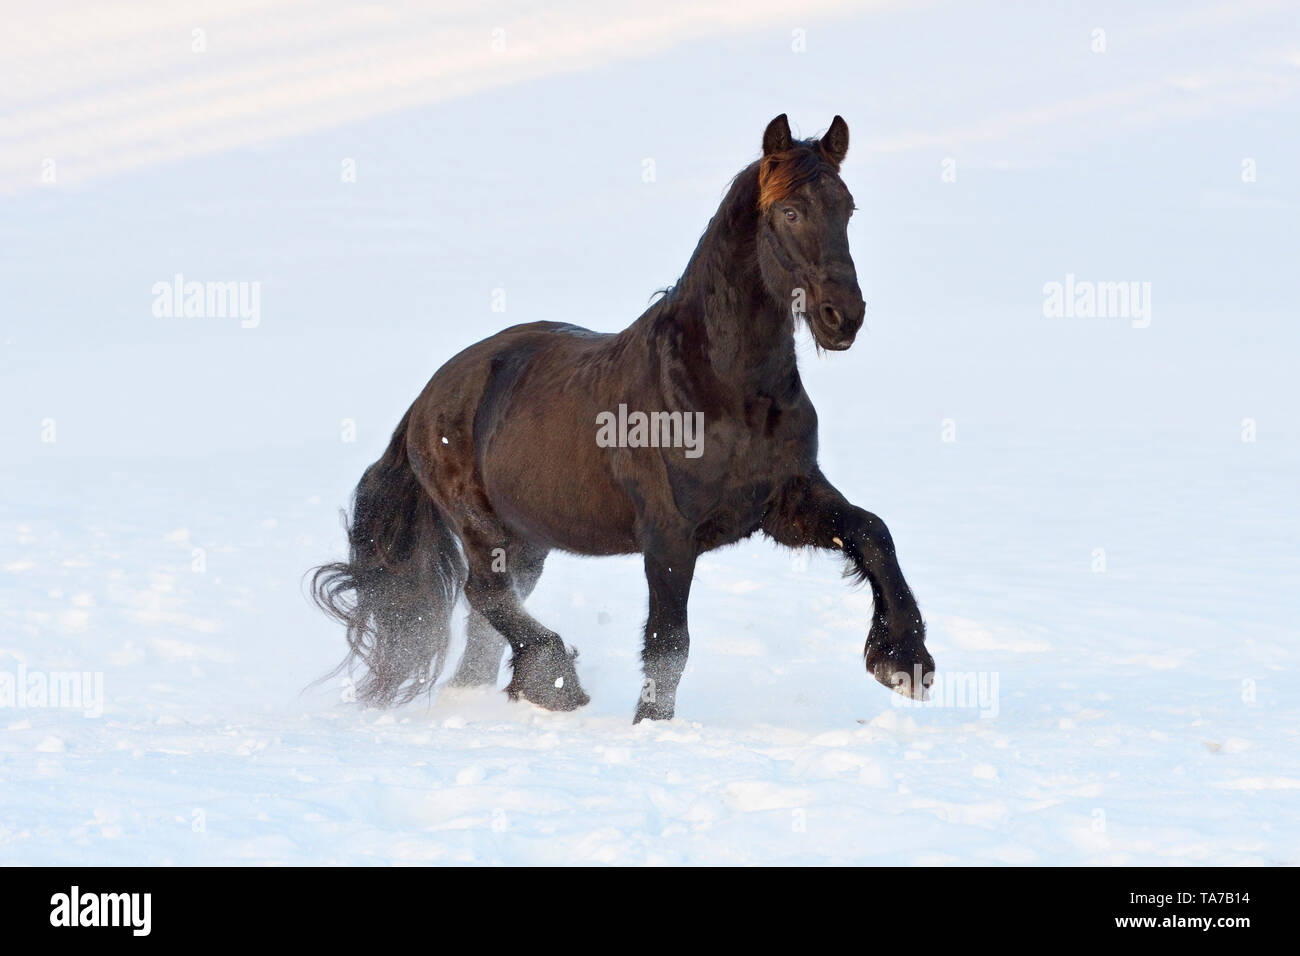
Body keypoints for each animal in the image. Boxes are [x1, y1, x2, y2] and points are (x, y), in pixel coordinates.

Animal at [311, 114, 935, 721]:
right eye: (789, 211)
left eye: (847, 208)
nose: (843, 316)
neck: (724, 390)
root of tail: (427, 398)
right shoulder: (669, 538)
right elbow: (669, 644)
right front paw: (650, 726)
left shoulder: (784, 503)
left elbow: (873, 532)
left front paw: (904, 662)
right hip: (480, 526)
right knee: (485, 594)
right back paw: (556, 684)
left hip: (528, 539)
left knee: (487, 622)